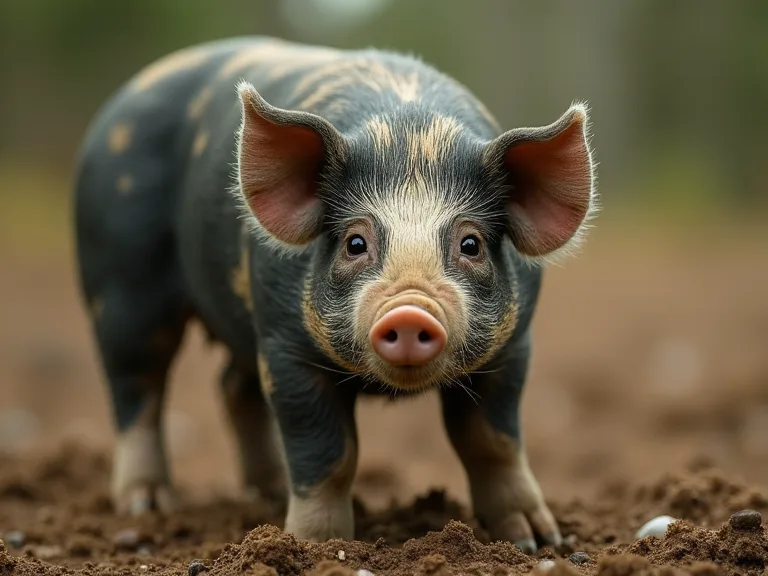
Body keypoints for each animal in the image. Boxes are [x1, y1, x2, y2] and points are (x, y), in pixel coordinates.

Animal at [73, 36, 597, 553]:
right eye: (355, 243)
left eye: (471, 244)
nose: (409, 312)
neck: (410, 132)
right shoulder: (285, 347)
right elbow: (326, 452)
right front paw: (315, 546)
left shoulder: (515, 345)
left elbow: (493, 441)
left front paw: (538, 542)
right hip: (121, 286)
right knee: (137, 387)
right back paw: (148, 506)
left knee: (231, 387)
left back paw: (267, 493)